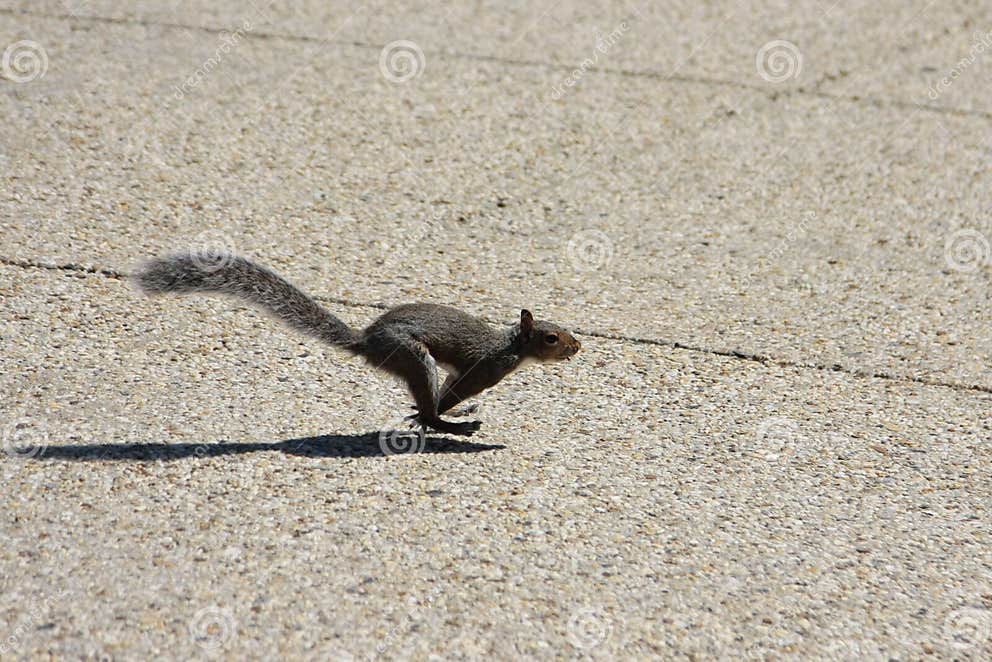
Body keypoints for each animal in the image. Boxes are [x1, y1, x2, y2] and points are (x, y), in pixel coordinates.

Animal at [133, 253, 581, 437]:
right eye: (551, 337)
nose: (577, 347)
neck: (513, 346)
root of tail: (366, 342)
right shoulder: (487, 369)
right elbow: (459, 388)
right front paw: (444, 414)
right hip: (414, 356)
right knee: (430, 401)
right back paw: (451, 424)